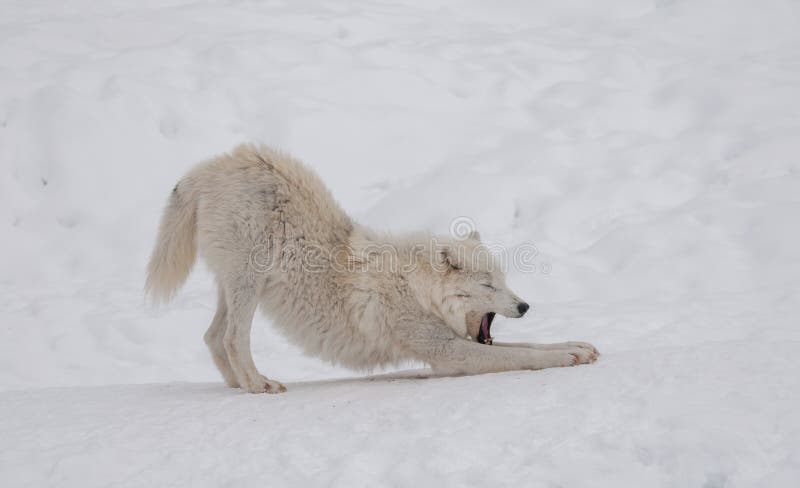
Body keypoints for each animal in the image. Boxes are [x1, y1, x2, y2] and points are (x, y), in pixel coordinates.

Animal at [146, 144, 598, 393]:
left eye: (505, 281)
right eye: (488, 285)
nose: (524, 306)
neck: (416, 289)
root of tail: (210, 167)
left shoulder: (457, 339)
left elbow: (532, 344)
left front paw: (578, 347)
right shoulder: (448, 353)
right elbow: (520, 355)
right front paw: (565, 358)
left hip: (234, 285)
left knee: (212, 336)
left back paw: (239, 385)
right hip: (247, 283)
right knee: (233, 338)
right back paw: (260, 385)